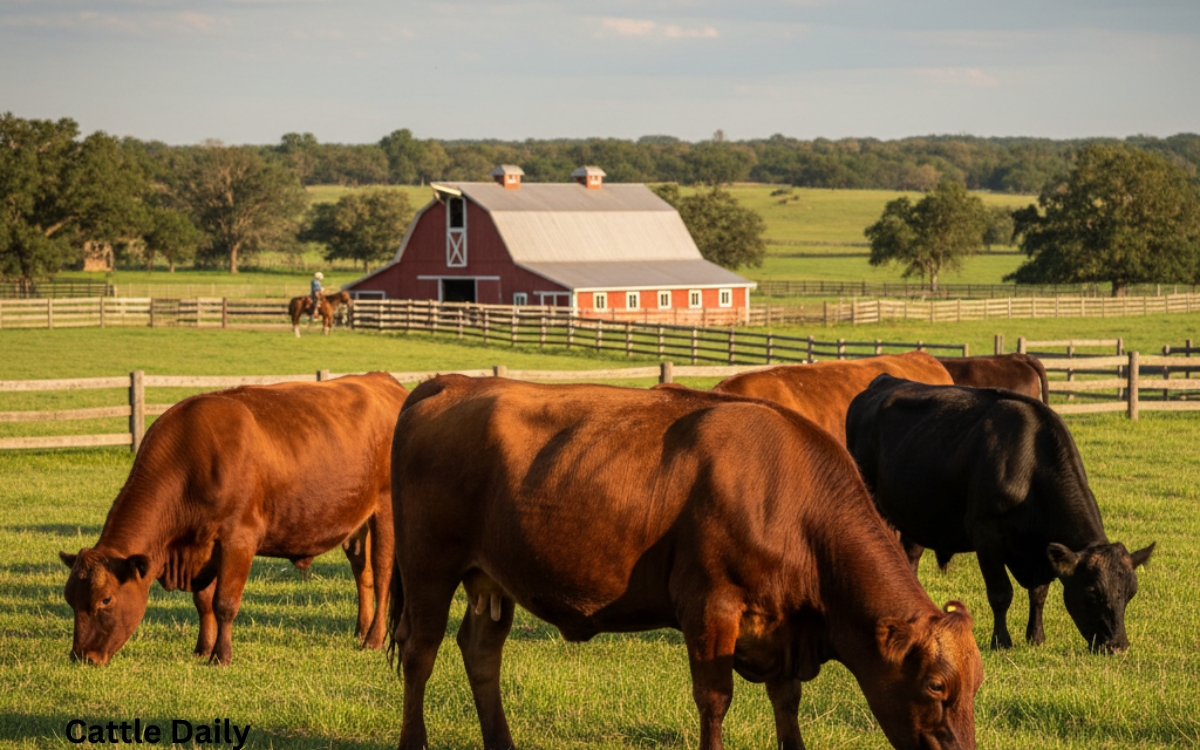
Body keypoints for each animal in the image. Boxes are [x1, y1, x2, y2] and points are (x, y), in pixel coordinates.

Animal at [59, 372, 408, 666]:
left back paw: (374, 639)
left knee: (382, 575)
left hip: (386, 511)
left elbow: (224, 603)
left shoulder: (239, 539)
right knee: (363, 574)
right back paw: (360, 631)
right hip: (356, 520)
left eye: (105, 599)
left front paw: (220, 656)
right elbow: (203, 601)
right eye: (69, 599)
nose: (82, 657)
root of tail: (384, 381)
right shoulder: (202, 546)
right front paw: (202, 648)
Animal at [388, 375, 983, 750]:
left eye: (976, 687)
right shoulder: (710, 607)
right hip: (428, 568)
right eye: (936, 686)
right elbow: (714, 700)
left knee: (481, 653)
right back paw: (414, 741)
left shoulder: (781, 627)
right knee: (420, 654)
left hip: (490, 580)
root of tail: (448, 383)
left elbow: (786, 701)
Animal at [846, 374, 1155, 654]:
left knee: (911, 556)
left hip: (917, 515)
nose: (1118, 646)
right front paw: (1002, 641)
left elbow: (1039, 593)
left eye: (1131, 592)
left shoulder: (1040, 552)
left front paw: (1036, 637)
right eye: (1092, 592)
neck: (1030, 466)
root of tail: (883, 381)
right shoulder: (986, 535)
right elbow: (1001, 593)